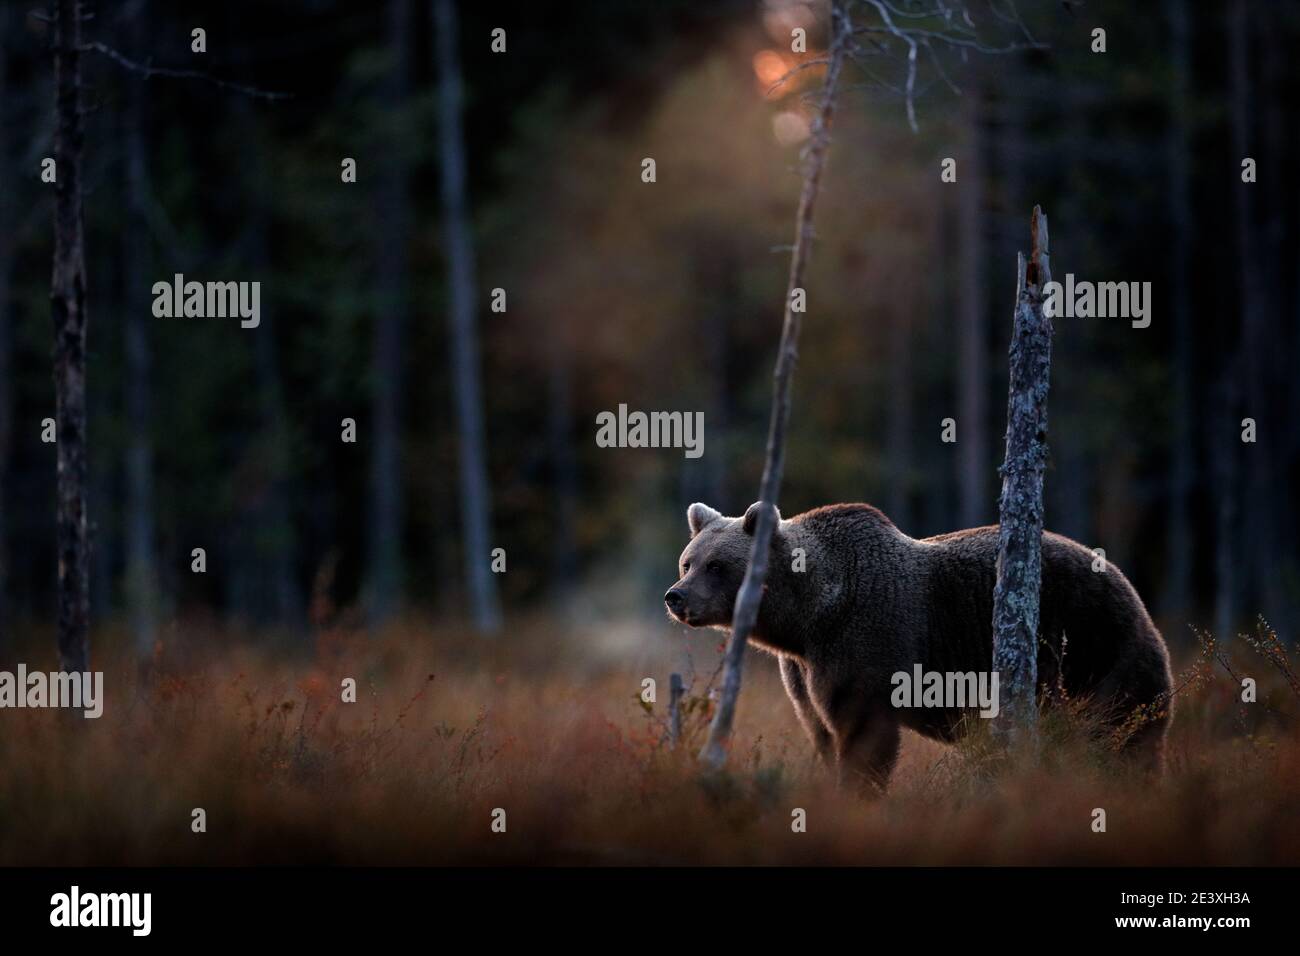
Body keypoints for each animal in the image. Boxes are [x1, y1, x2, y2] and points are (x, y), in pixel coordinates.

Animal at [664, 501, 1173, 792]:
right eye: (688, 561)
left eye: (716, 565)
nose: (676, 595)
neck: (806, 617)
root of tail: (1126, 581)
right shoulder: (803, 671)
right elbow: (822, 730)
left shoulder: (863, 638)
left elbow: (864, 732)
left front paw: (858, 793)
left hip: (1093, 641)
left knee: (1121, 728)